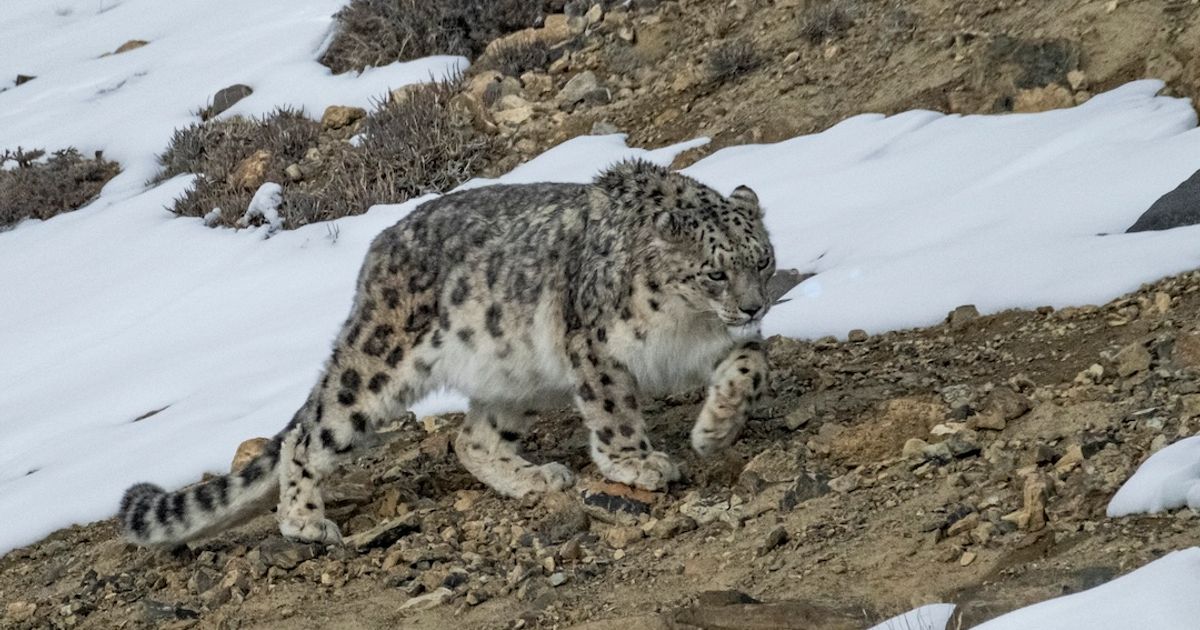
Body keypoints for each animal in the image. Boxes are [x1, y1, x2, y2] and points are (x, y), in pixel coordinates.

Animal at [117, 159, 776, 546]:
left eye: (763, 260)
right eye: (715, 272)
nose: (752, 307)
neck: (687, 327)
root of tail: (378, 249)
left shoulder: (717, 344)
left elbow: (752, 364)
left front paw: (714, 430)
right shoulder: (594, 345)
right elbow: (613, 410)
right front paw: (637, 463)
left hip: (517, 374)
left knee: (471, 438)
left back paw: (534, 478)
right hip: (375, 370)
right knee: (307, 437)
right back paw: (304, 521)